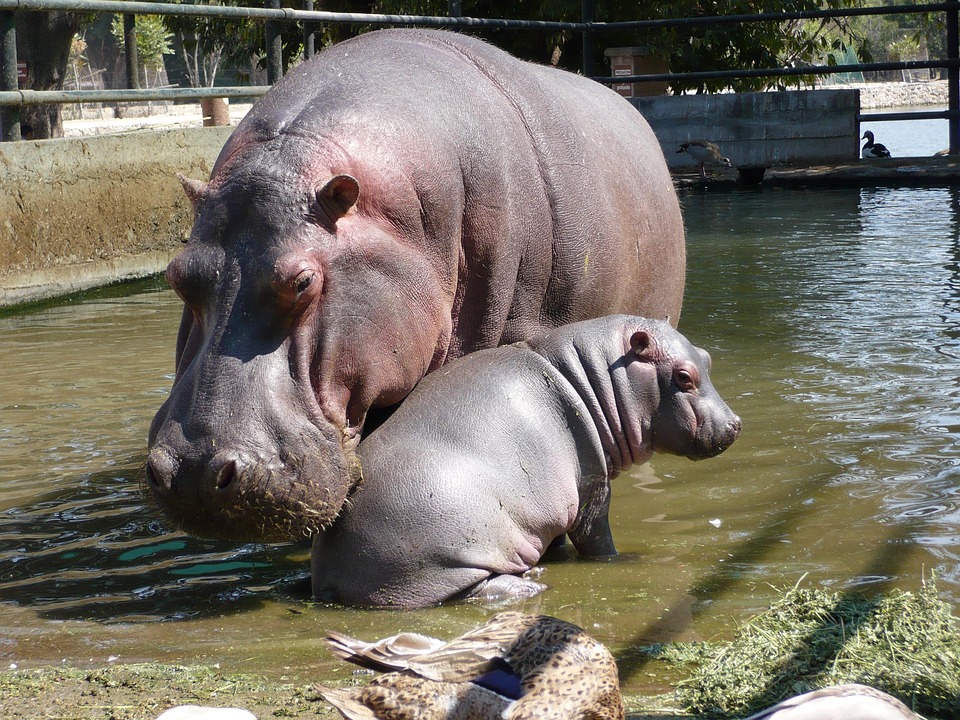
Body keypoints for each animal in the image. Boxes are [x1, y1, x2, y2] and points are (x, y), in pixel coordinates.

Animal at [311, 315, 740, 607]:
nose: (735, 424)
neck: (596, 374)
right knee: (473, 588)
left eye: (707, 358)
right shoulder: (593, 484)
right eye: (683, 376)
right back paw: (533, 581)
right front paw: (622, 559)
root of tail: (328, 573)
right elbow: (596, 535)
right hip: (444, 556)